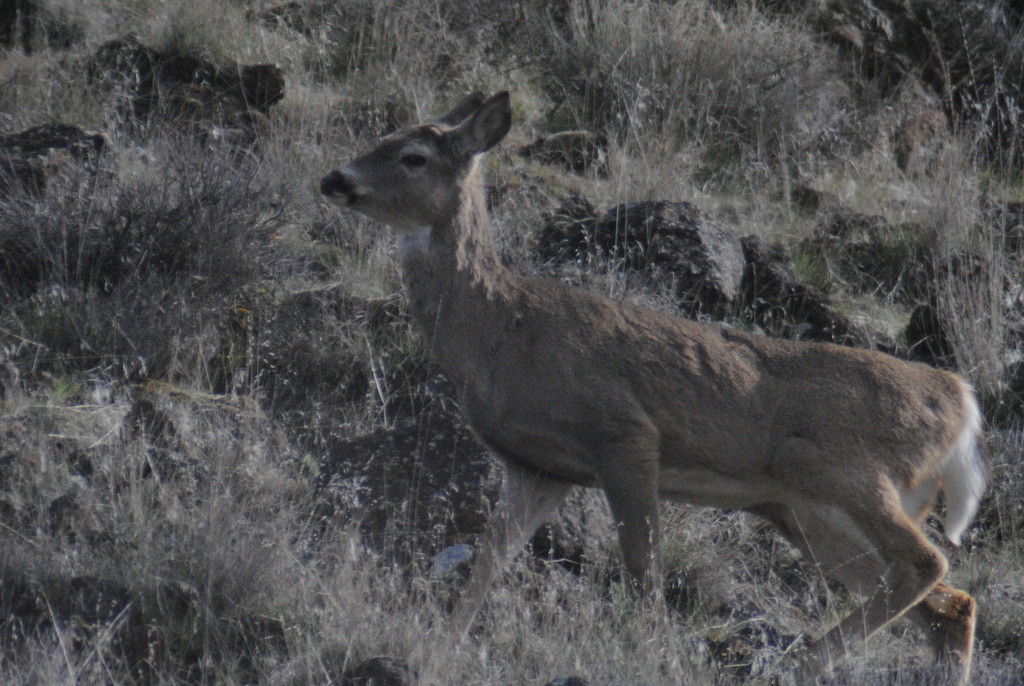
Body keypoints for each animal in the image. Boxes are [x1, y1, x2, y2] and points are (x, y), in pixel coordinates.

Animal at [320, 91, 987, 684]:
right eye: (381, 137)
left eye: (413, 156)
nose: (333, 178)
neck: (505, 333)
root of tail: (961, 400)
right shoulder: (538, 468)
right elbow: (487, 564)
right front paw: (439, 649)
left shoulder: (626, 433)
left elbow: (644, 578)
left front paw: (653, 658)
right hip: (804, 511)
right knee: (949, 604)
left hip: (841, 471)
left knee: (926, 563)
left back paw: (796, 668)